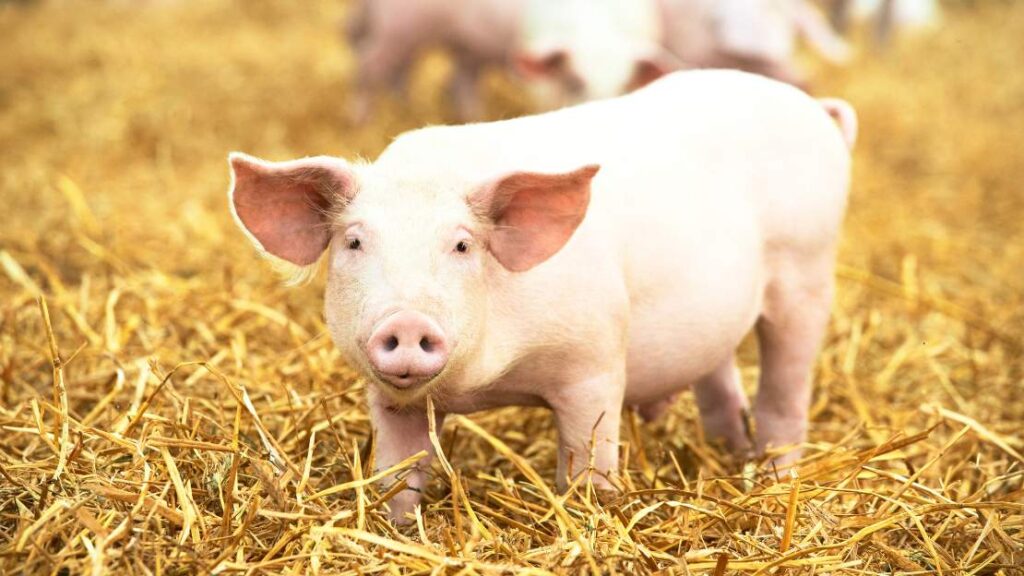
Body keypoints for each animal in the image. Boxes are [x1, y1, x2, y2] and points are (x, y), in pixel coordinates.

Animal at [227, 70, 857, 523]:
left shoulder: (594, 364)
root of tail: (814, 109)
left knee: (784, 392)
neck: (486, 385)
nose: (406, 322)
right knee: (720, 379)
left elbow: (587, 463)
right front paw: (397, 527)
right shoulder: (389, 399)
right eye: (354, 241)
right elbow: (398, 473)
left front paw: (588, 517)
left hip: (808, 272)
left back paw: (775, 477)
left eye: (462, 244)